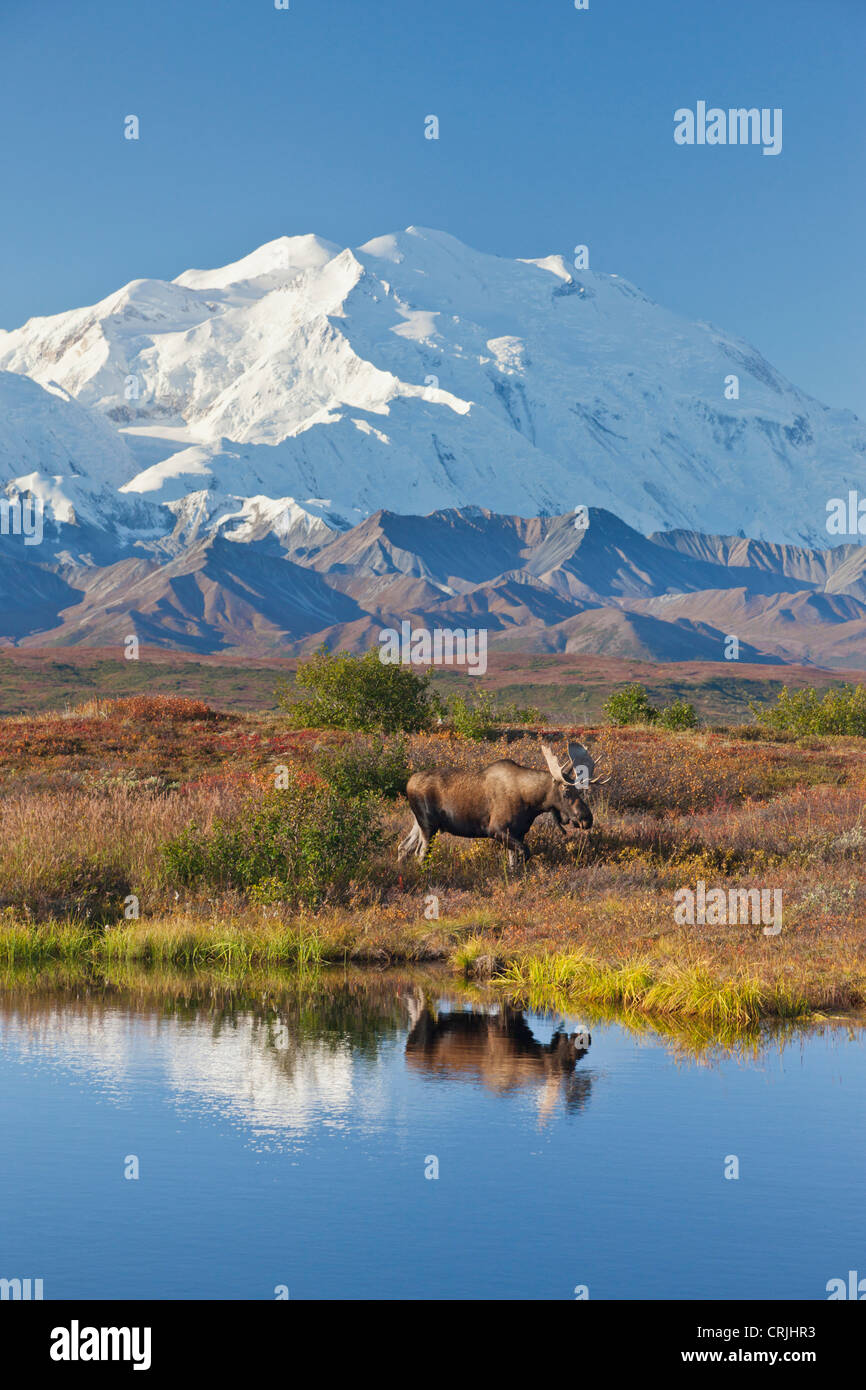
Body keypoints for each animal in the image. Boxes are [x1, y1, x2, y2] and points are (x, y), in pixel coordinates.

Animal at [397, 739, 609, 867]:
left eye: (579, 791)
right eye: (566, 791)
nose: (587, 818)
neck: (530, 803)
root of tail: (408, 783)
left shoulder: (518, 832)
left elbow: (514, 861)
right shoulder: (496, 829)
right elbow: (524, 854)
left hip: (419, 823)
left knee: (403, 847)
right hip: (428, 825)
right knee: (420, 854)